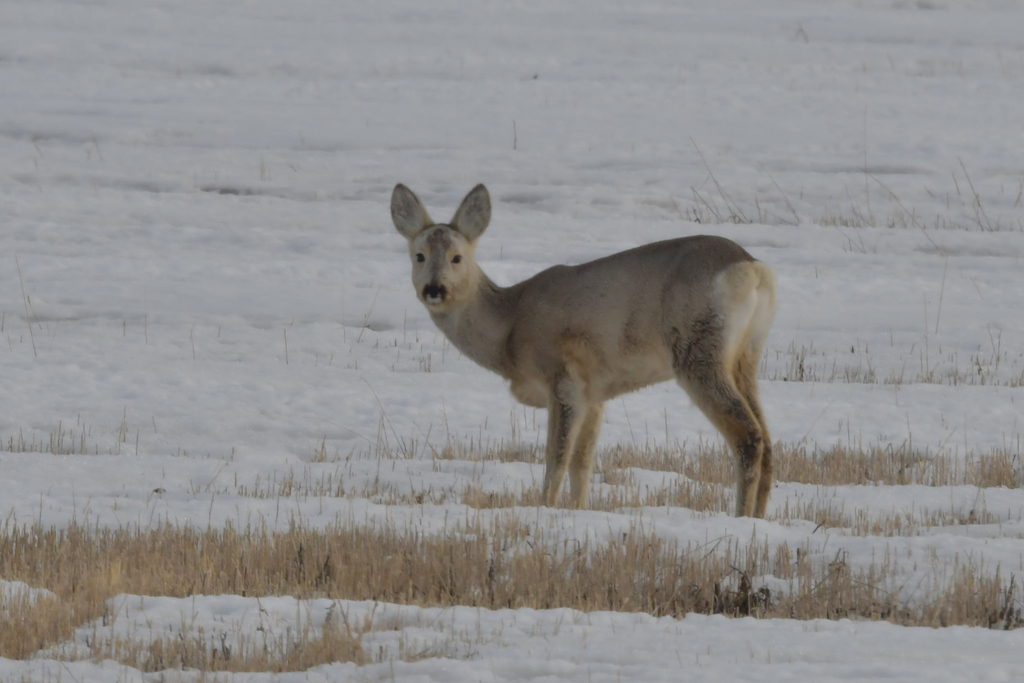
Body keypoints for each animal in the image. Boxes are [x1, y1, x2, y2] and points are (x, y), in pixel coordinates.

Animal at [390, 183, 777, 517]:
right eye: (419, 255)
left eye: (457, 258)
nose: (434, 289)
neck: (510, 324)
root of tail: (752, 269)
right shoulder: (596, 395)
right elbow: (583, 464)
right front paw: (579, 512)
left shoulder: (565, 380)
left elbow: (556, 460)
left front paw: (545, 509)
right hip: (746, 357)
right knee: (769, 441)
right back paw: (758, 518)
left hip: (699, 353)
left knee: (748, 435)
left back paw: (741, 518)